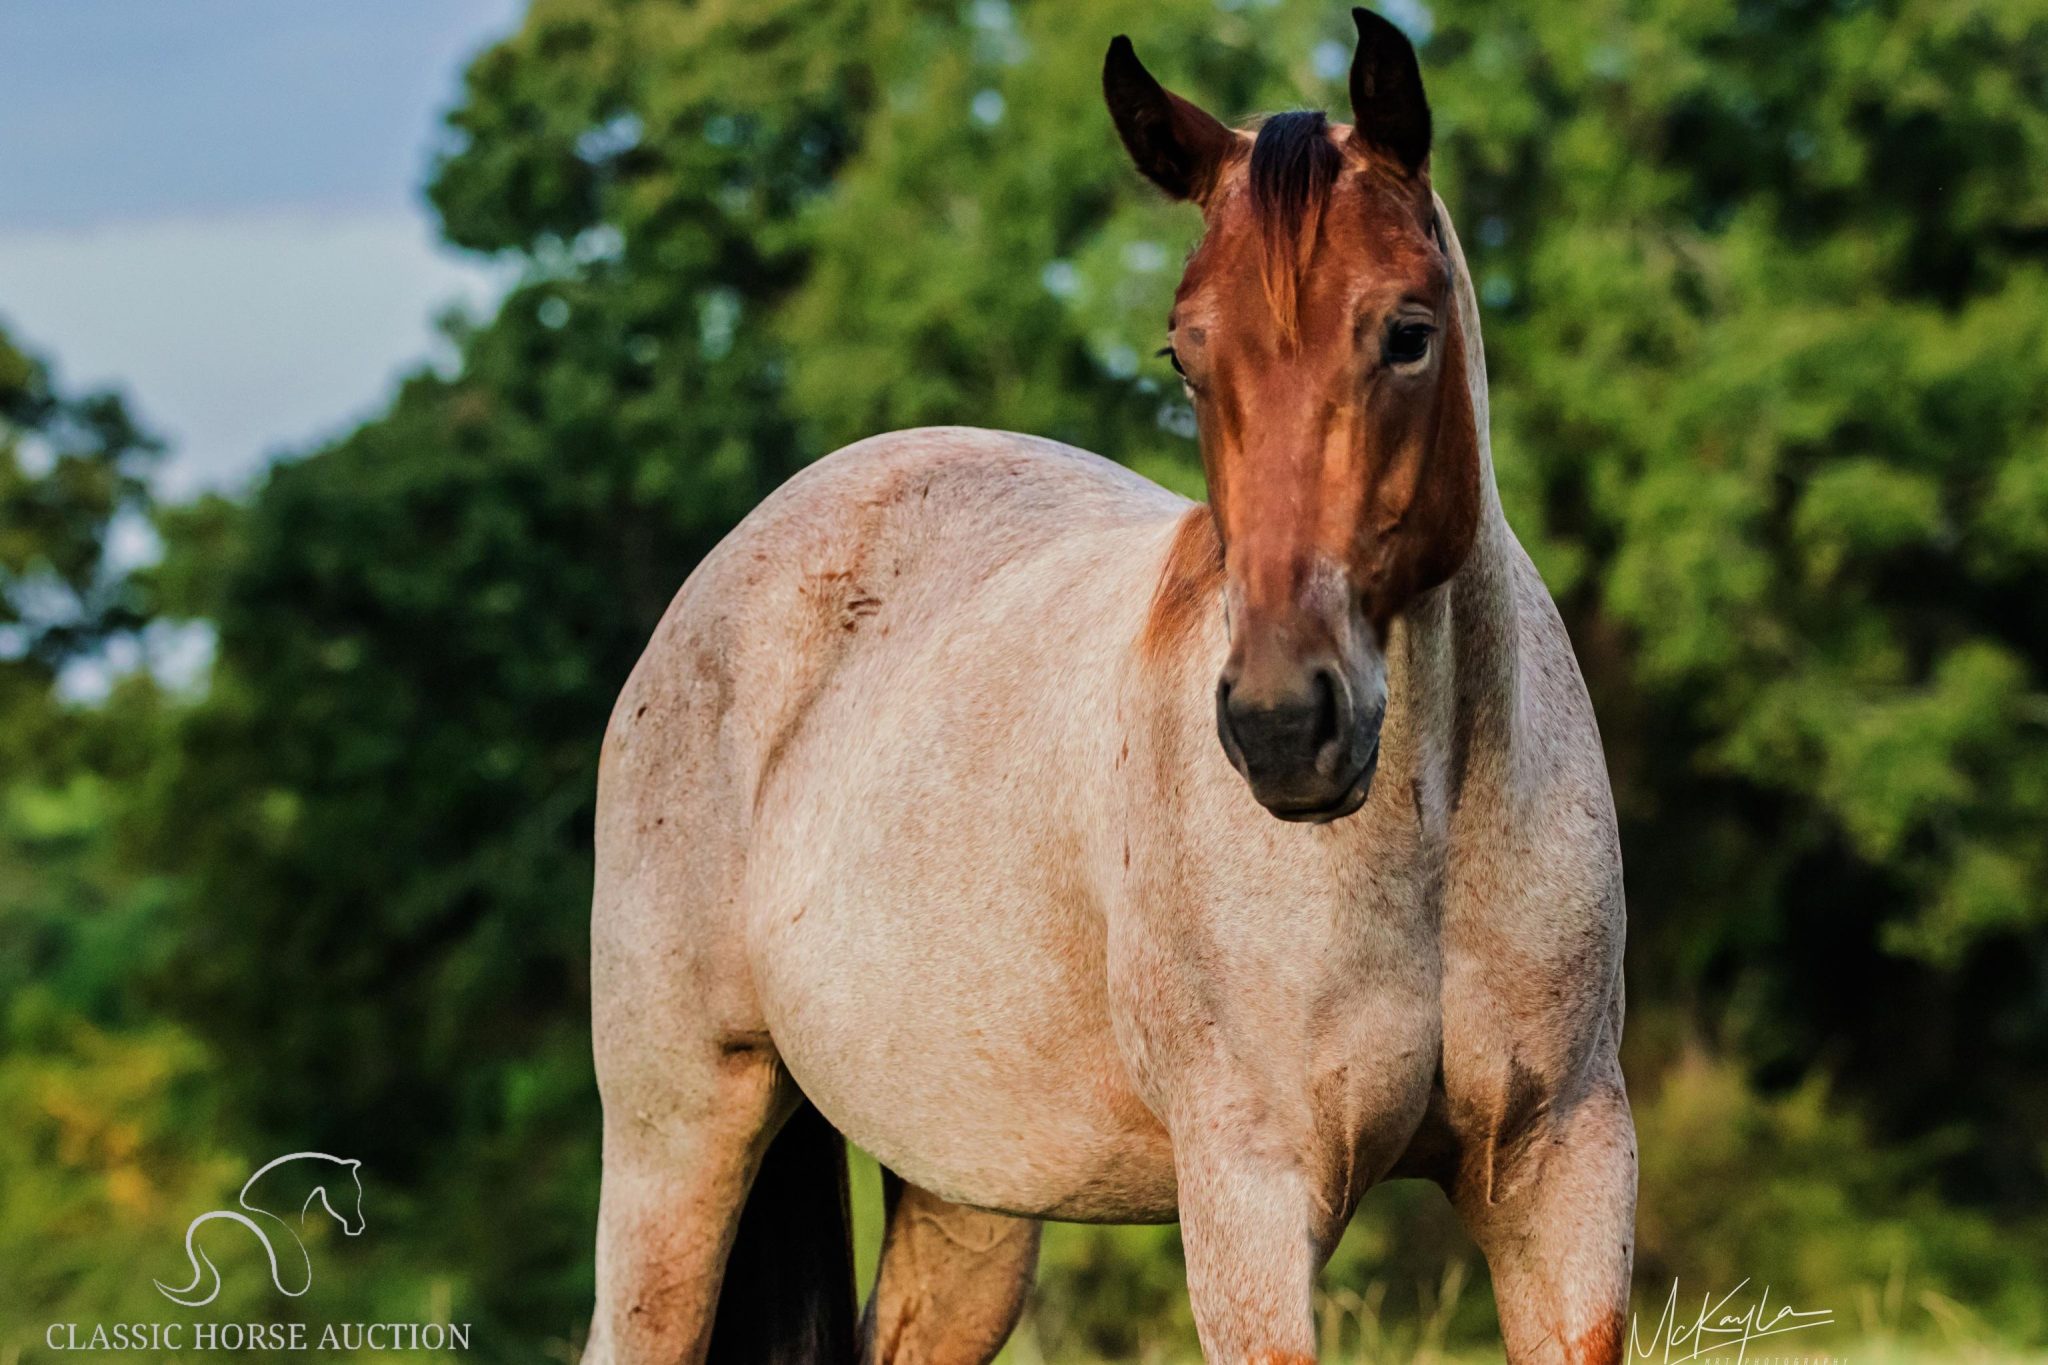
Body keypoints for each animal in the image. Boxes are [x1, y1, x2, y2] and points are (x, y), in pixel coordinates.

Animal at [585, 10, 1633, 1363]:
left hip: (964, 1200)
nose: (1283, 725)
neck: (1434, 838)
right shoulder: (1250, 1200)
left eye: (1408, 332)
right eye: (1184, 357)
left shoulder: (1561, 1181)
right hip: (678, 1141)